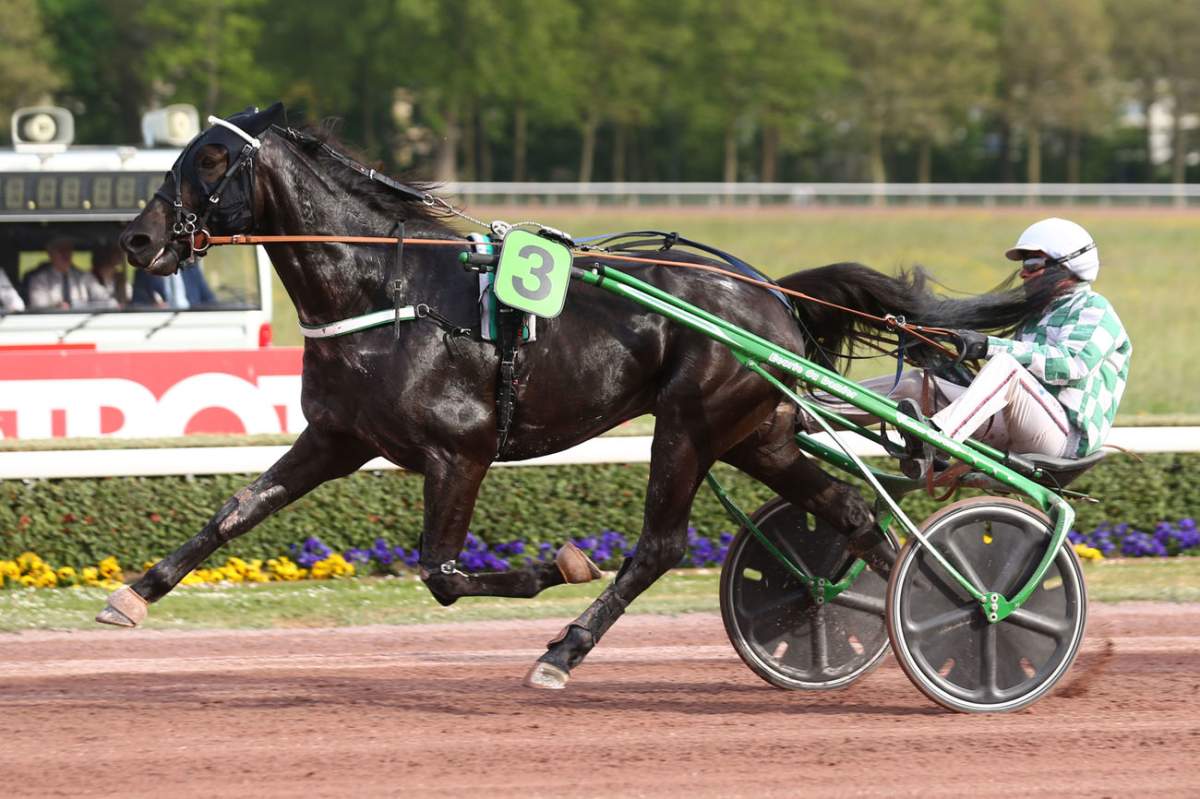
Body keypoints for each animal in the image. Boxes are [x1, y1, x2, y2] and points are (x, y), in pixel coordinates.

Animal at [105, 103, 1036, 689]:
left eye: (211, 159)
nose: (139, 239)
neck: (385, 285)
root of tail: (770, 291)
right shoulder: (337, 437)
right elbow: (234, 511)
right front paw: (132, 594)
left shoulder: (460, 449)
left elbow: (442, 572)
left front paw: (560, 562)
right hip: (757, 432)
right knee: (856, 516)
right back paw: (950, 615)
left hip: (690, 421)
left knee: (660, 545)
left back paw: (564, 649)